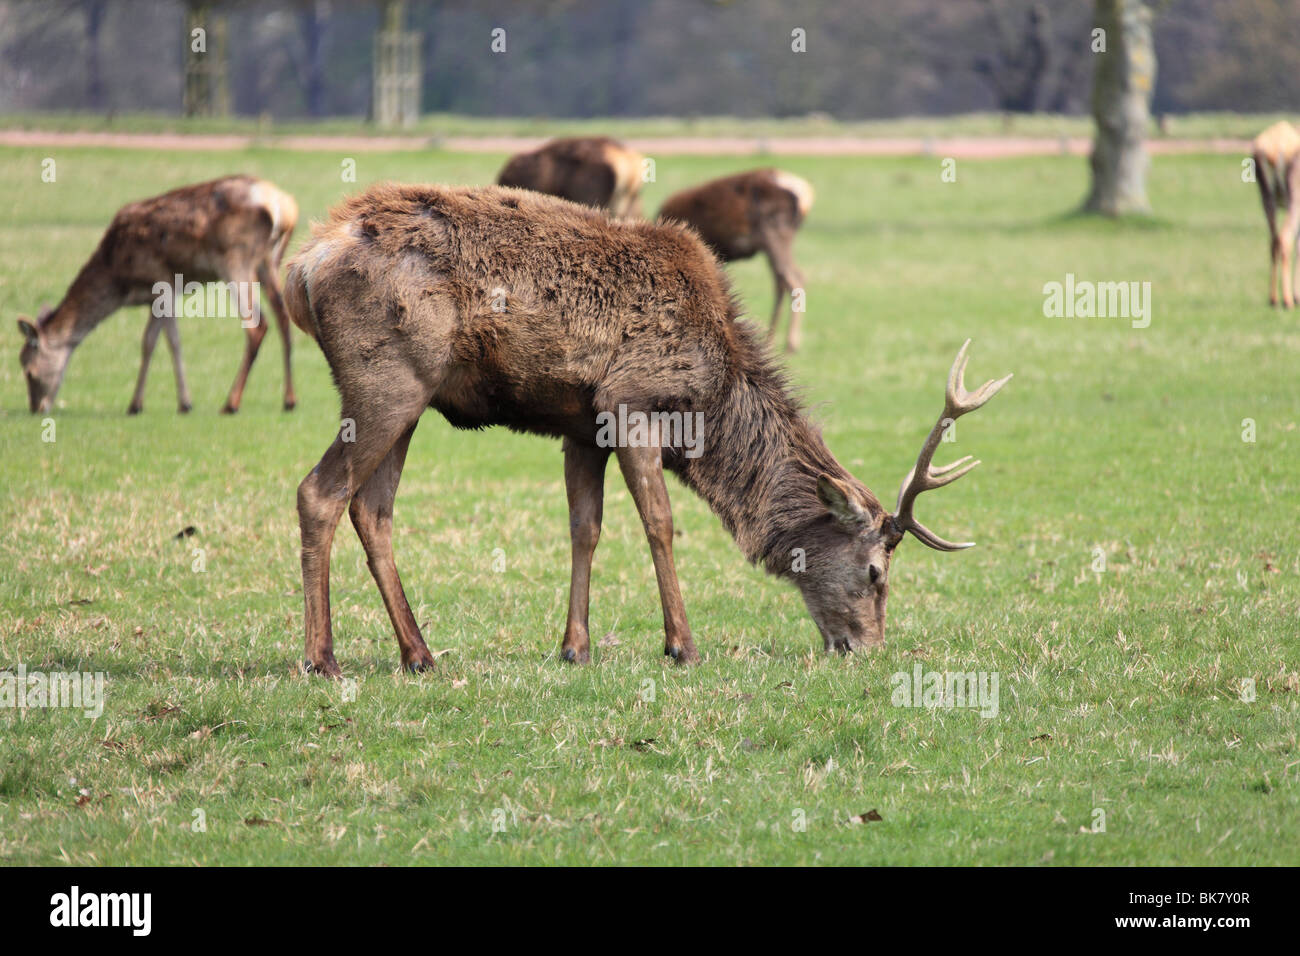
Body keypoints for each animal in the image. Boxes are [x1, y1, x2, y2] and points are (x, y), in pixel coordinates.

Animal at [17, 175, 299, 415]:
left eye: (28, 370)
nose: (36, 408)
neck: (117, 276)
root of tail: (285, 207)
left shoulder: (163, 280)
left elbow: (171, 340)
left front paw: (184, 403)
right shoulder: (156, 296)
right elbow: (150, 342)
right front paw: (136, 404)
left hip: (235, 258)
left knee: (257, 325)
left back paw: (231, 403)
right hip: (269, 260)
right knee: (284, 316)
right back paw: (289, 400)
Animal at [658, 169, 814, 353]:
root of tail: (805, 196)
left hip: (774, 232)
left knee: (791, 276)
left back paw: (790, 343)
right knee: (784, 278)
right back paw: (771, 338)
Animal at [1252, 121, 1300, 308]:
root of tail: (1276, 147)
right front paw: (1297, 296)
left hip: (1267, 199)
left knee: (1274, 241)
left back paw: (1273, 299)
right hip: (1294, 200)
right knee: (1285, 239)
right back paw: (1287, 300)